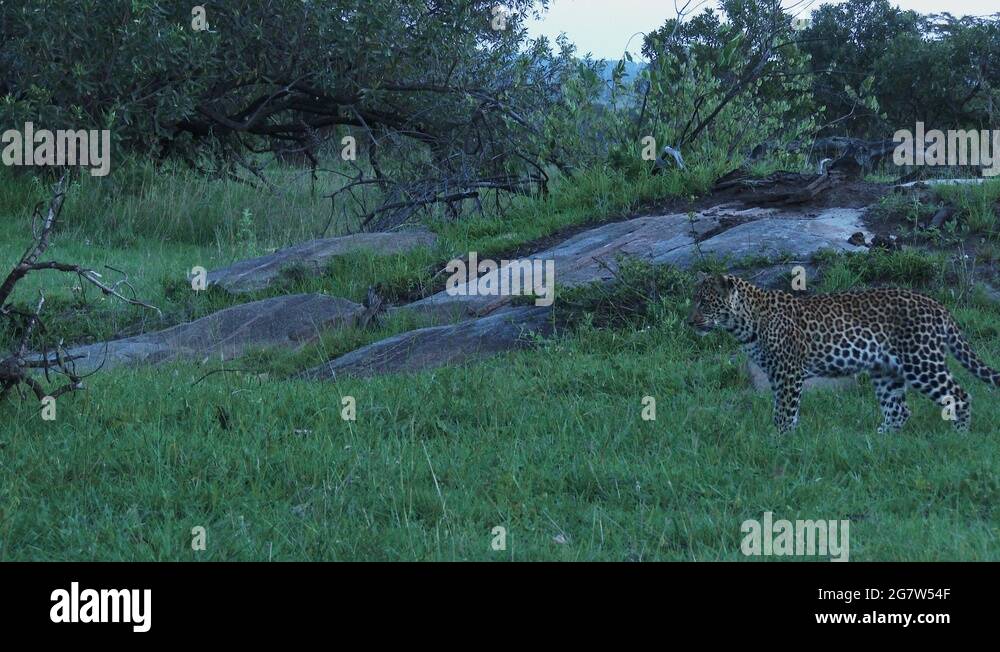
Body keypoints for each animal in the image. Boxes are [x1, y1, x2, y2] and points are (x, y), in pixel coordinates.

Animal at [687, 273, 1000, 433]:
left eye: (704, 302)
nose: (689, 322)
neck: (745, 323)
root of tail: (938, 305)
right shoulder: (775, 374)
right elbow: (780, 408)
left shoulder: (788, 372)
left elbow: (785, 411)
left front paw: (781, 440)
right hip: (886, 370)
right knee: (899, 410)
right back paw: (880, 441)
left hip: (921, 362)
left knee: (959, 395)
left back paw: (960, 436)